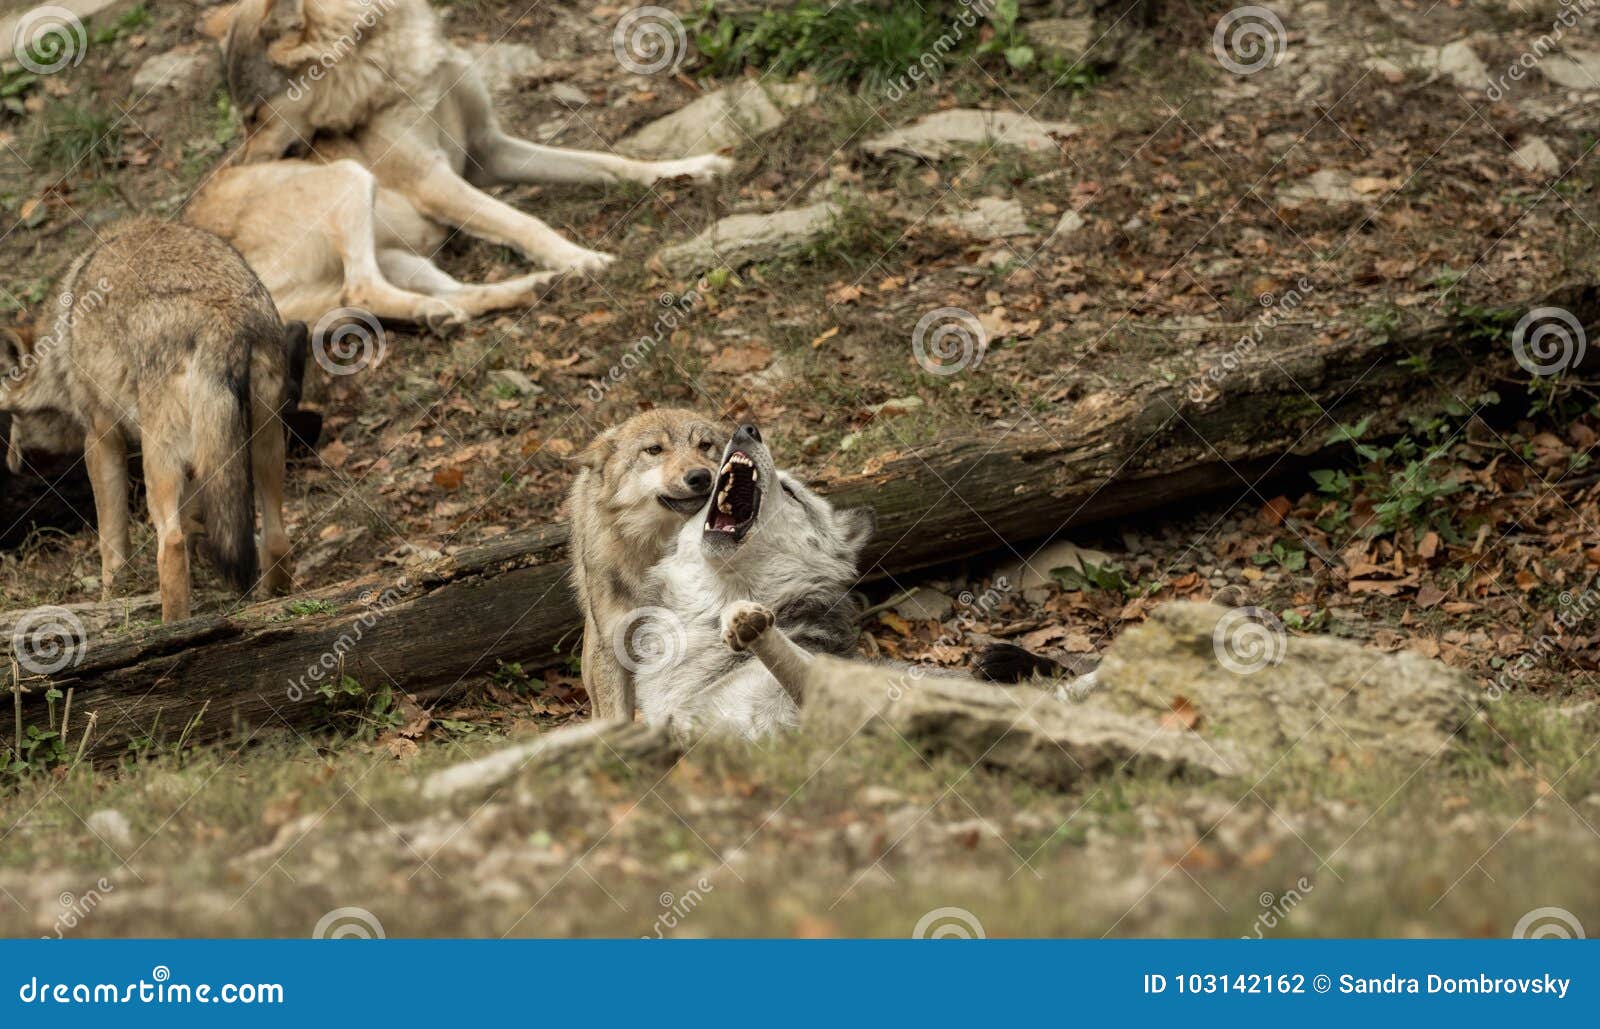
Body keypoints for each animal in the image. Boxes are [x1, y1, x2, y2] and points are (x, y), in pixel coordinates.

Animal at [0, 219, 300, 622]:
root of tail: (224, 318)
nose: (10, 463)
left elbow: (112, 541)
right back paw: (269, 599)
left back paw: (171, 624)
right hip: (264, 447)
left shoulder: (100, 437)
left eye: (12, 418)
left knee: (169, 544)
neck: (61, 348)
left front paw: (111, 597)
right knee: (277, 540)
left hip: (157, 462)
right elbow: (193, 523)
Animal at [188, 0, 733, 326]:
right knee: (359, 293)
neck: (392, 70)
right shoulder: (435, 181)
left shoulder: (487, 151)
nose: (240, 162)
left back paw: (507, 294)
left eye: (255, 116)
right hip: (350, 180)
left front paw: (692, 167)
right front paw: (580, 256)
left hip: (403, 256)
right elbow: (526, 222)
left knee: (414, 292)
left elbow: (610, 160)